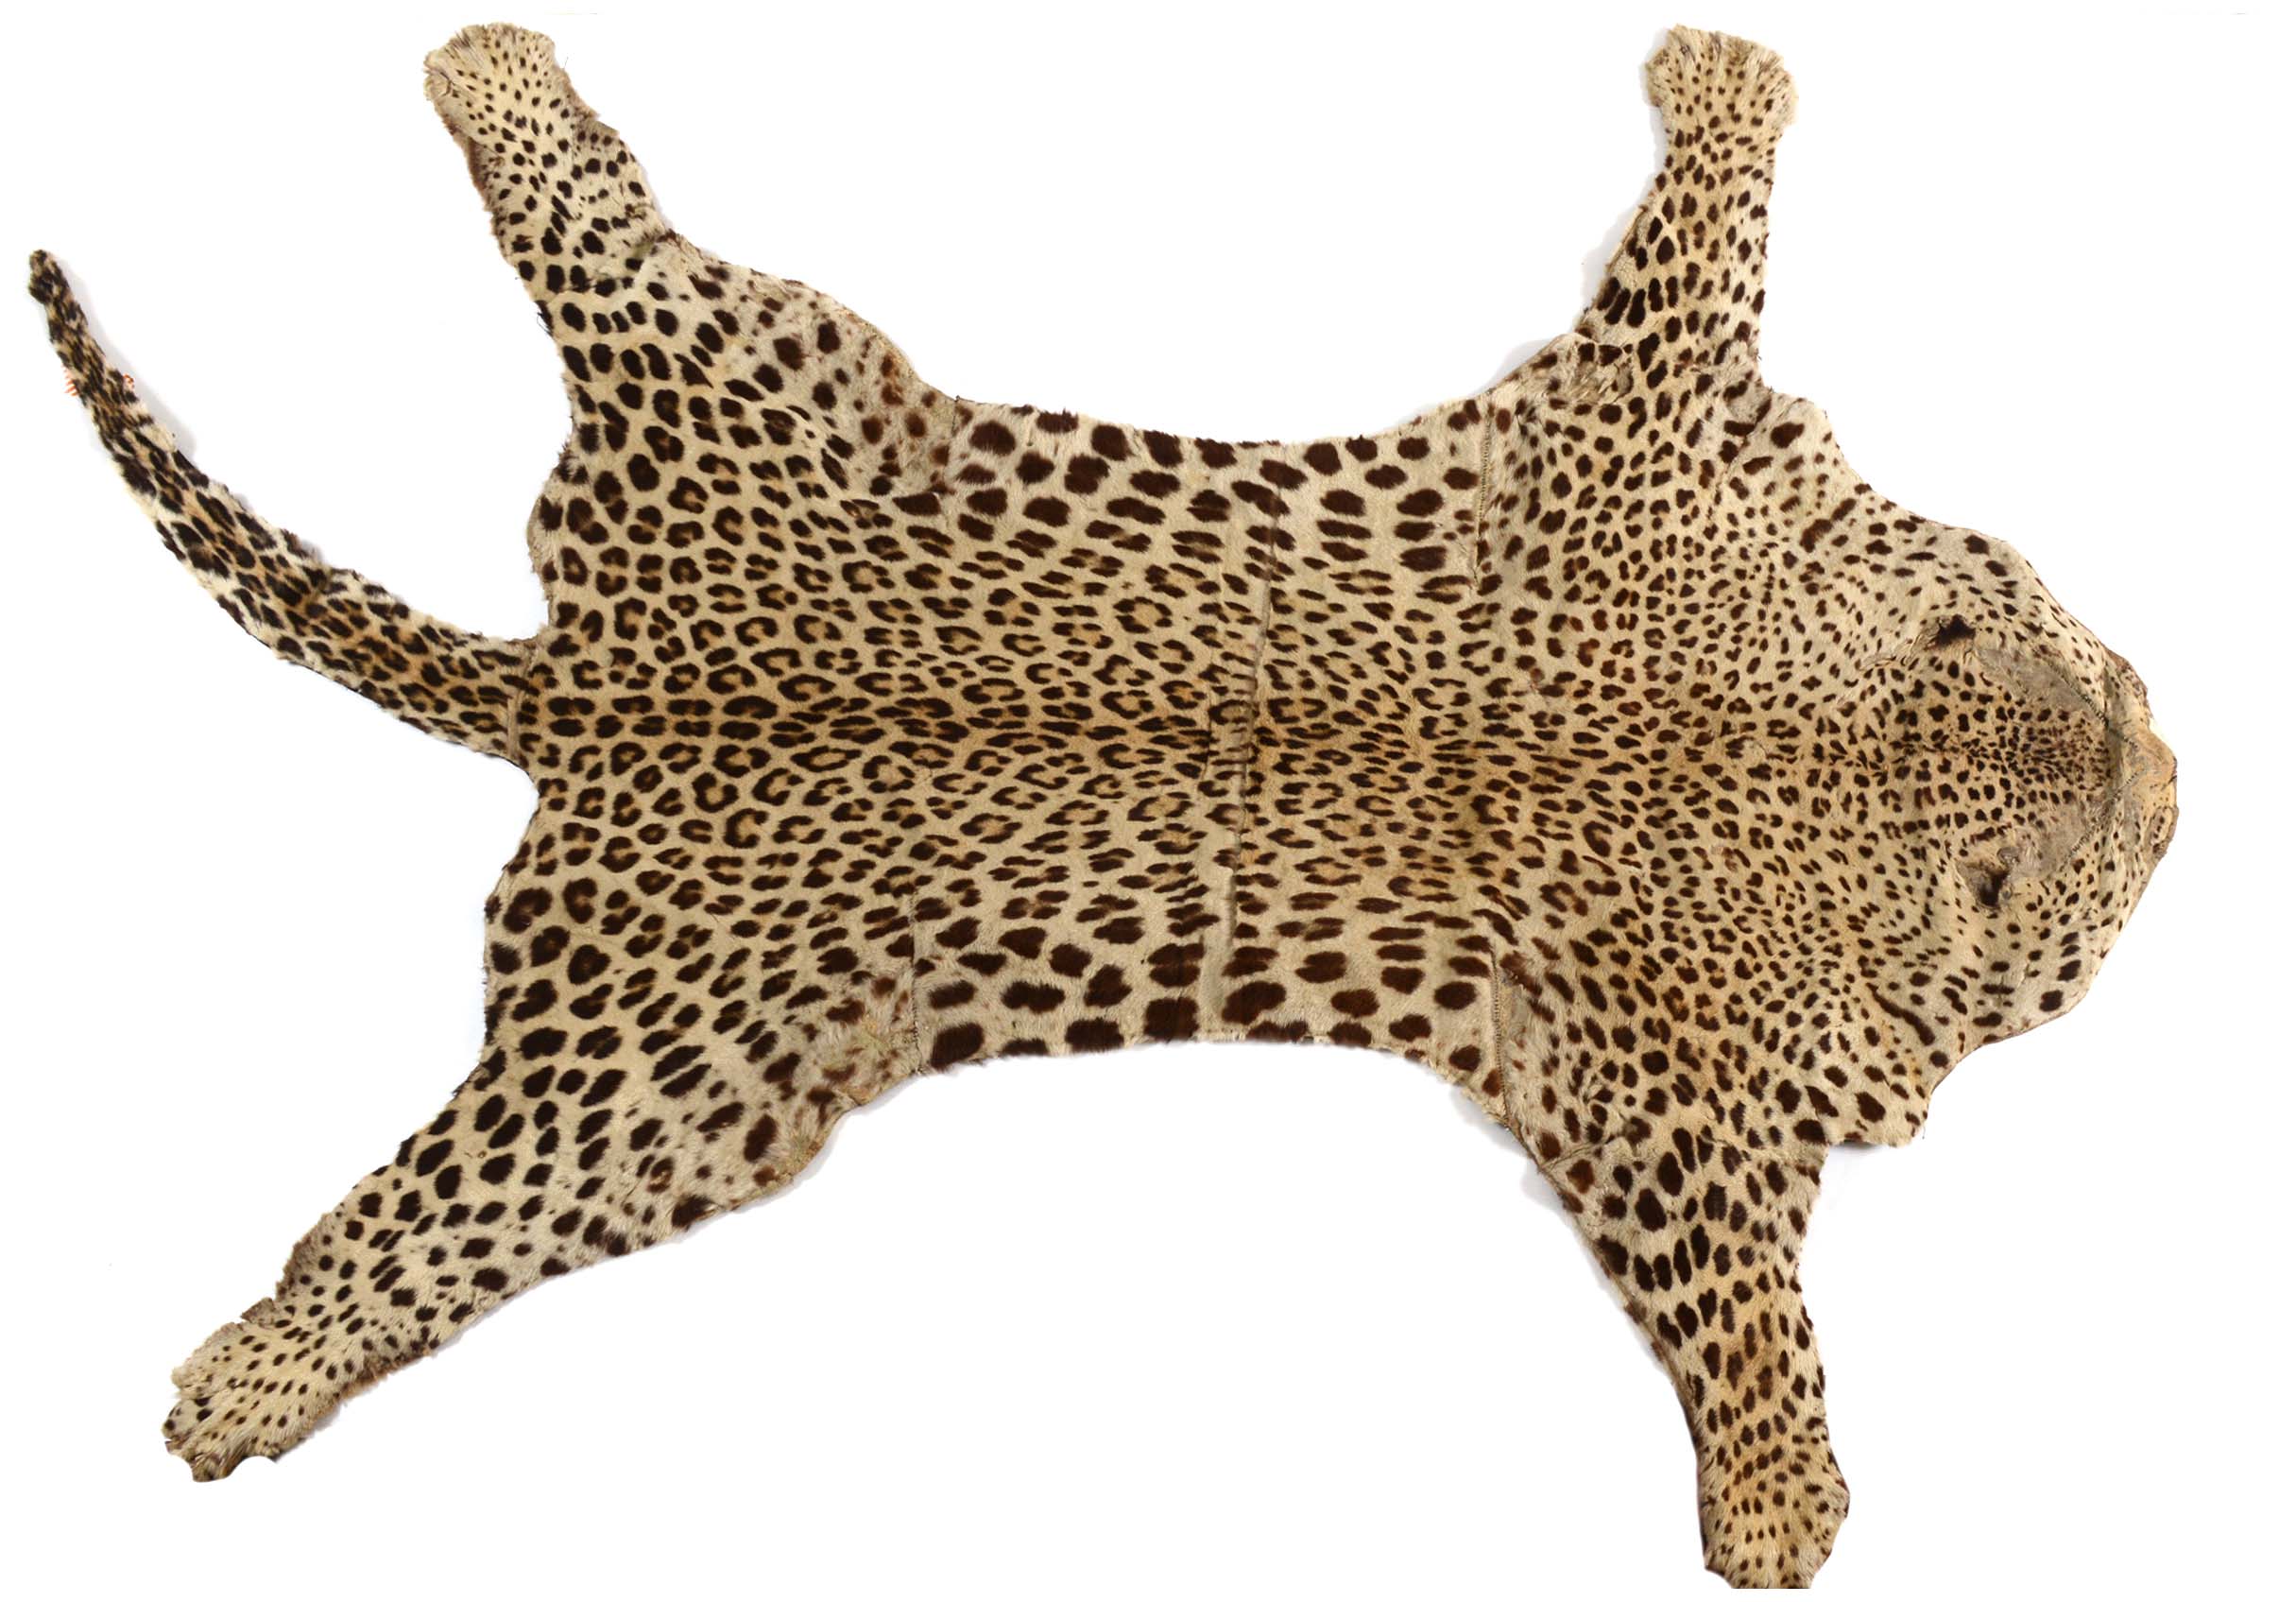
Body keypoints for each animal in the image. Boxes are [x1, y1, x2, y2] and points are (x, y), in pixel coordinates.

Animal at [29, 23, 2175, 1587]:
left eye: (2109, 696)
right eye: (2051, 865)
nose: (2169, 760)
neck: (1785, 749)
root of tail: (589, 669)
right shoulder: (1660, 1058)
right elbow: (1750, 1315)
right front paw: (1782, 1503)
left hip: (744, 430)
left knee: (607, 247)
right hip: (670, 1058)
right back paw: (249, 1377)